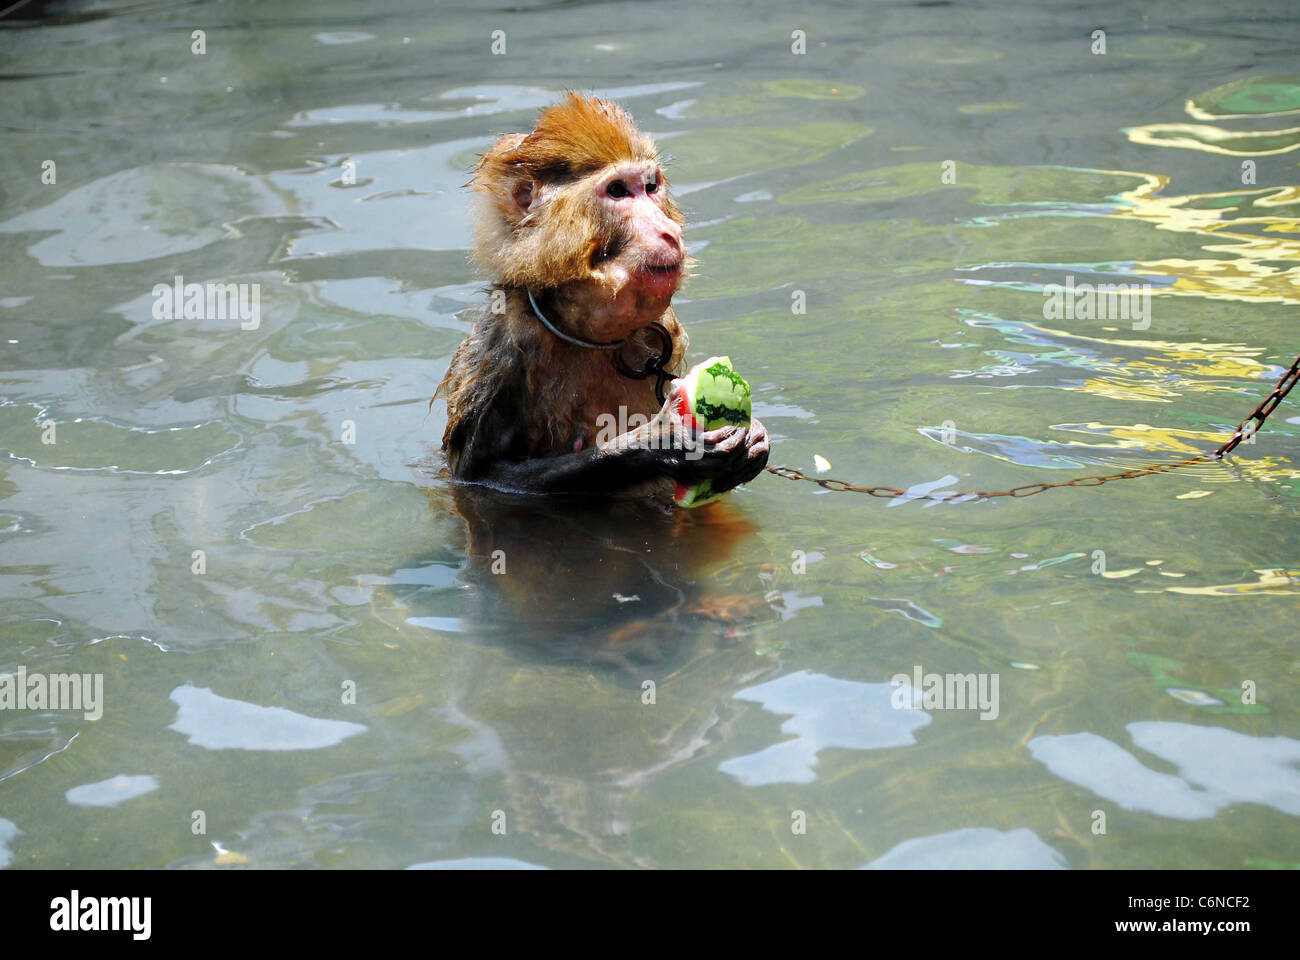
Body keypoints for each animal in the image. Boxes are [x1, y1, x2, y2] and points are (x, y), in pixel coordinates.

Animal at [436, 93, 769, 498]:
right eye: (617, 191)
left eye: (650, 186)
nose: (668, 231)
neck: (586, 333)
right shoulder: (504, 350)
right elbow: (484, 477)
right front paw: (666, 443)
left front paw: (755, 439)